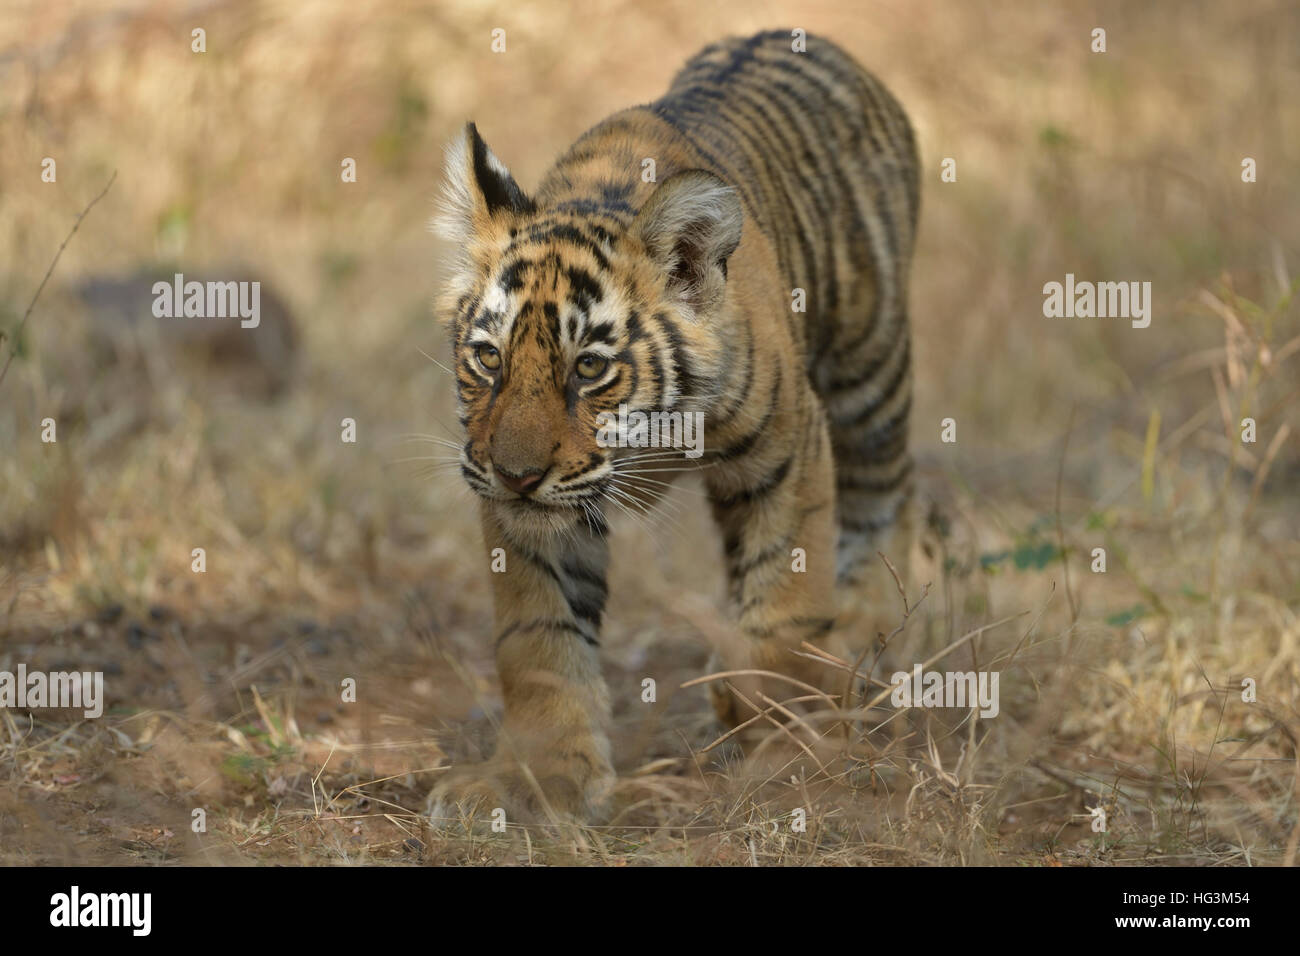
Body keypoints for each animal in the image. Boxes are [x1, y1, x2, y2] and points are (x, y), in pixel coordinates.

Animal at [429, 29, 920, 823]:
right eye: (488, 357)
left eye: (589, 368)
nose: (516, 474)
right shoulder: (531, 514)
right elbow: (537, 638)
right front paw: (534, 777)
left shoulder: (789, 447)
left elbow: (787, 600)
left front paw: (791, 746)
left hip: (868, 371)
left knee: (889, 498)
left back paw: (864, 644)